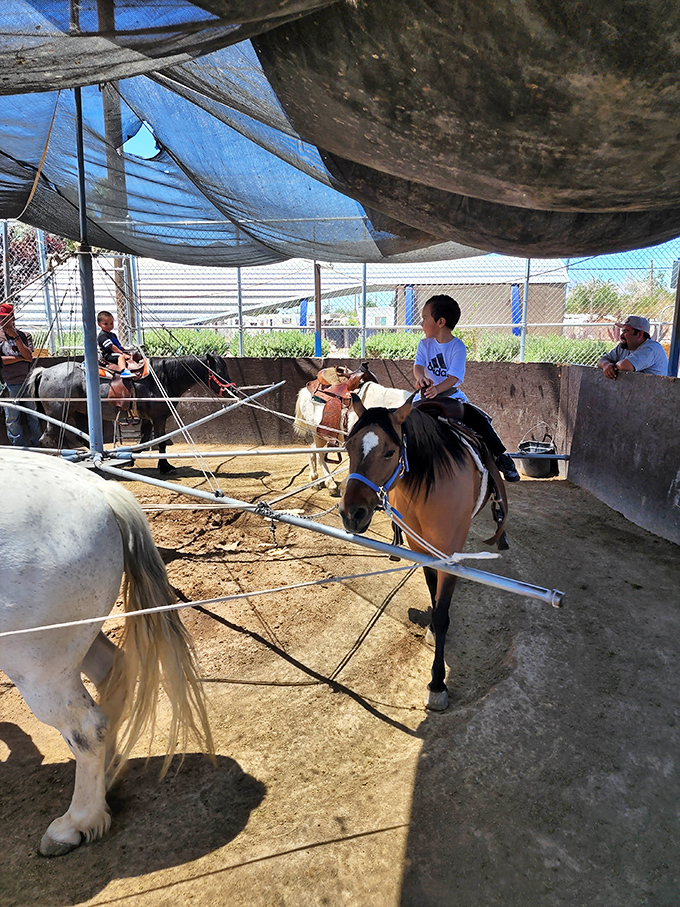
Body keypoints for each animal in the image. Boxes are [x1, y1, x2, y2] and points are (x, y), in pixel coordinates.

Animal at [0, 449, 213, 856]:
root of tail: (98, 490)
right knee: (110, 673)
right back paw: (107, 781)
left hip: (37, 661)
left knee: (86, 727)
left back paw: (76, 823)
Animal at [26, 354, 233, 474]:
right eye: (219, 372)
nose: (232, 388)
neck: (162, 378)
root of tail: (44, 372)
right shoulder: (158, 418)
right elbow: (160, 443)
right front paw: (165, 467)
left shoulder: (148, 419)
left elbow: (144, 441)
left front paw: (132, 458)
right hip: (57, 414)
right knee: (47, 440)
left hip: (78, 413)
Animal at [338, 395, 508, 712]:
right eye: (348, 447)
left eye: (390, 452)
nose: (352, 514)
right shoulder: (422, 550)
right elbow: (433, 592)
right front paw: (432, 626)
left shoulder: (449, 553)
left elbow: (441, 614)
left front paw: (438, 684)